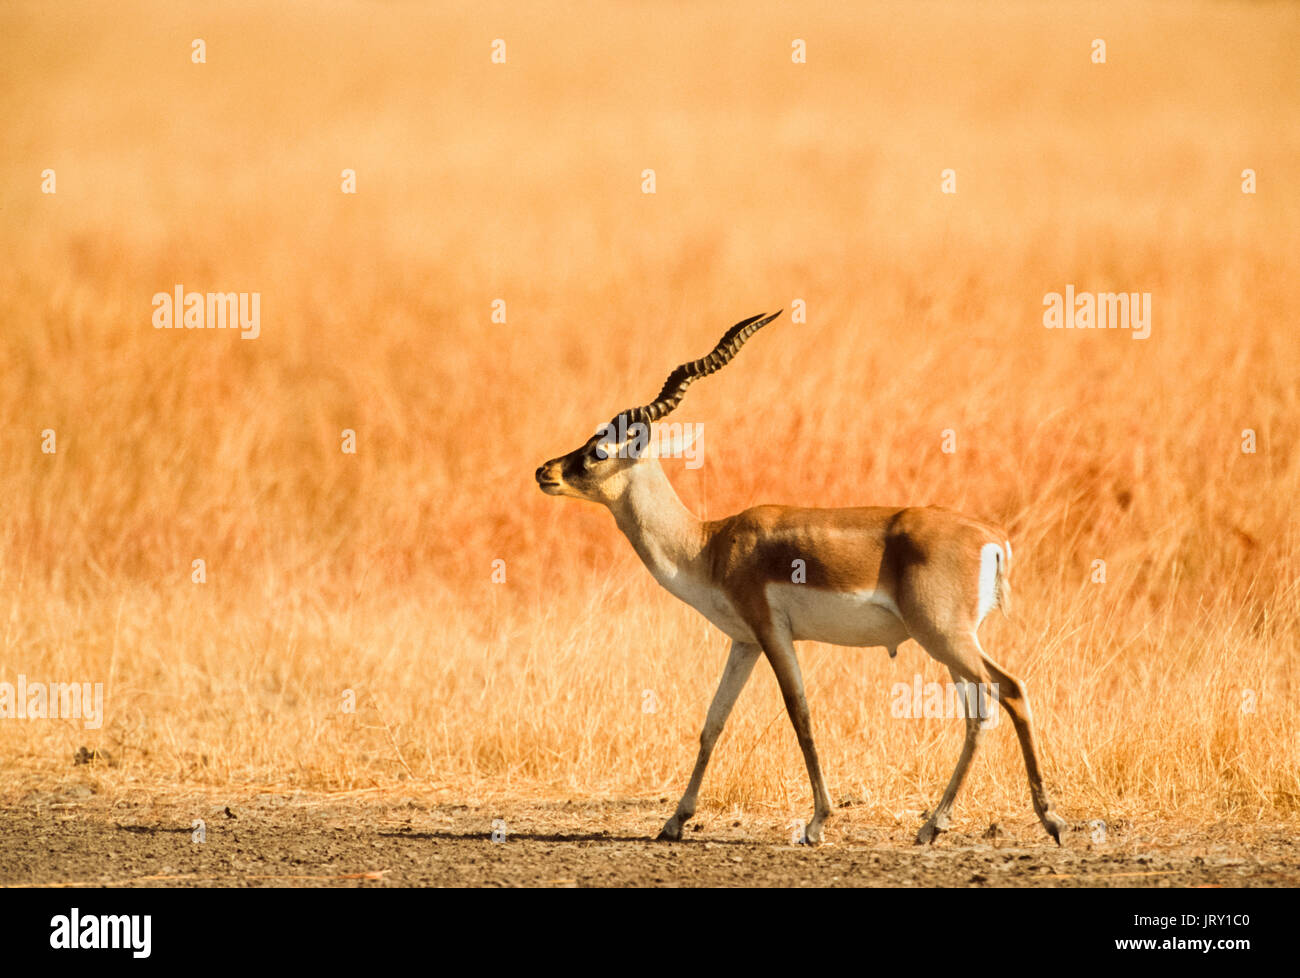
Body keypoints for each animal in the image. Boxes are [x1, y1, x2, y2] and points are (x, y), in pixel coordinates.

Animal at [535, 312, 1066, 846]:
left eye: (600, 450)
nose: (545, 471)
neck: (710, 544)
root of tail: (990, 537)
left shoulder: (774, 633)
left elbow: (800, 715)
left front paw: (816, 823)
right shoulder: (744, 642)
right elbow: (713, 722)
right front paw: (673, 821)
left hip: (944, 636)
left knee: (1011, 690)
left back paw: (1051, 821)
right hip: (952, 642)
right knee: (980, 712)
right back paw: (932, 827)